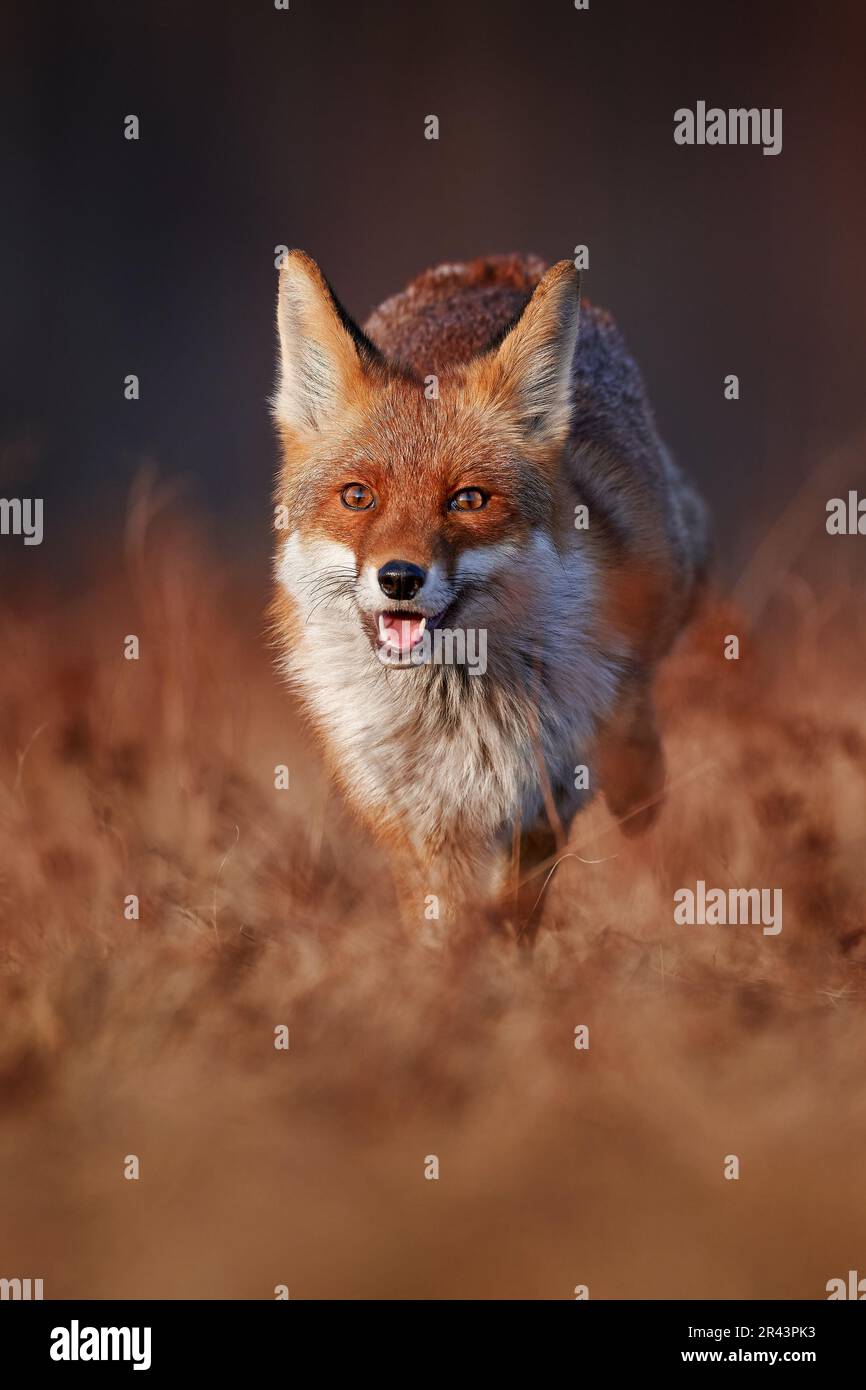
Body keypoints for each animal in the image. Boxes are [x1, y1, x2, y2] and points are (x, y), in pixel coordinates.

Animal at [269, 251, 709, 927]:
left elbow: (511, 905)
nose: (400, 577)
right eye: (357, 497)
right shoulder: (405, 807)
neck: (451, 714)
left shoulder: (546, 787)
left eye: (468, 500)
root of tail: (492, 266)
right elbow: (441, 916)